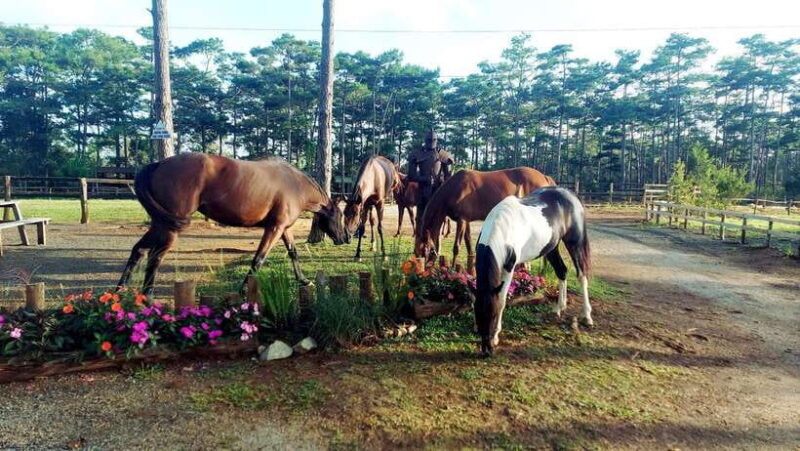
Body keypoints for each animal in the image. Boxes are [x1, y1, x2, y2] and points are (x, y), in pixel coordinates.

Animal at [118, 153, 349, 296]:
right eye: (340, 215)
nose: (345, 238)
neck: (294, 184)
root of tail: (158, 165)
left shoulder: (284, 229)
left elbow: (293, 253)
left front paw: (303, 280)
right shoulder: (274, 228)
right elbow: (258, 259)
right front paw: (244, 290)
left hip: (160, 224)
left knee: (139, 250)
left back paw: (121, 291)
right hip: (169, 228)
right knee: (155, 257)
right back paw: (147, 296)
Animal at [414, 167, 554, 265]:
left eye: (425, 251)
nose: (423, 271)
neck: (455, 188)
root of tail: (545, 177)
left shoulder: (461, 220)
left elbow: (456, 247)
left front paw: (452, 269)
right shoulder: (466, 220)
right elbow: (469, 244)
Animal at [474, 186, 592, 356]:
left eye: (494, 314)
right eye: (477, 314)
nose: (487, 351)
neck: (502, 227)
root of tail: (570, 194)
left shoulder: (509, 268)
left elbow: (502, 300)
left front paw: (496, 336)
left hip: (575, 243)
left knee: (582, 275)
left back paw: (587, 316)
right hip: (552, 247)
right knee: (562, 271)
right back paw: (559, 308)